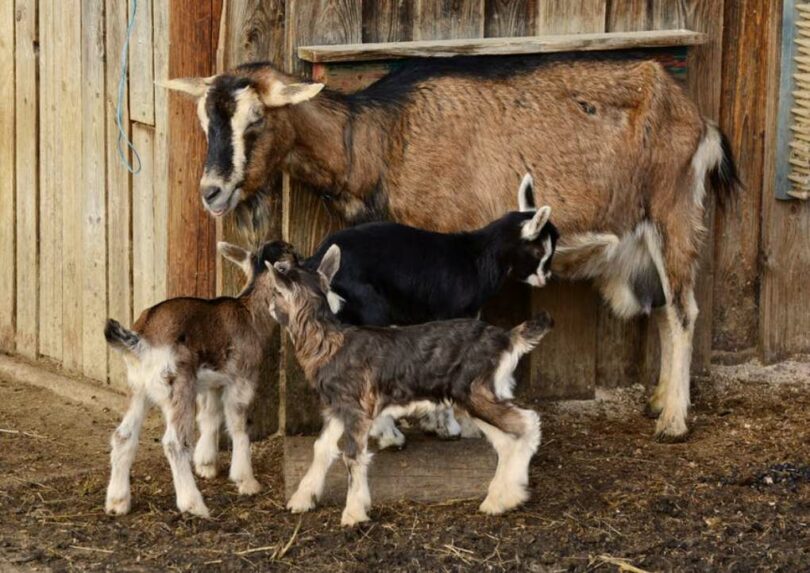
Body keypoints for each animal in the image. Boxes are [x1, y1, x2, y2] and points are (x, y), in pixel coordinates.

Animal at [103, 242, 282, 517]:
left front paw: (206, 465)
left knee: (123, 436)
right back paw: (193, 503)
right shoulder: (242, 378)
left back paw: (117, 502)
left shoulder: (212, 383)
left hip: (138, 388)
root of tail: (142, 340)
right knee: (174, 442)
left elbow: (209, 417)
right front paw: (246, 481)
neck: (248, 311)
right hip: (178, 385)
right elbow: (238, 424)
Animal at [249, 174, 557, 449]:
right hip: (371, 309)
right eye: (540, 250)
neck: (476, 258)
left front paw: (436, 424)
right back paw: (390, 437)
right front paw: (451, 427)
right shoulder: (452, 314)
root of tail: (318, 260)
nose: (547, 278)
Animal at [267, 246, 553, 525]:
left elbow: (352, 456)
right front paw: (302, 499)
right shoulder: (337, 409)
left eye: (276, 291)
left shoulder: (356, 408)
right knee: (506, 441)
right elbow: (322, 449)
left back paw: (508, 497)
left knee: (527, 423)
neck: (329, 345)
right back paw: (499, 498)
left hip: (476, 391)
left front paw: (353, 514)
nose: (268, 305)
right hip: (482, 395)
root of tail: (506, 338)